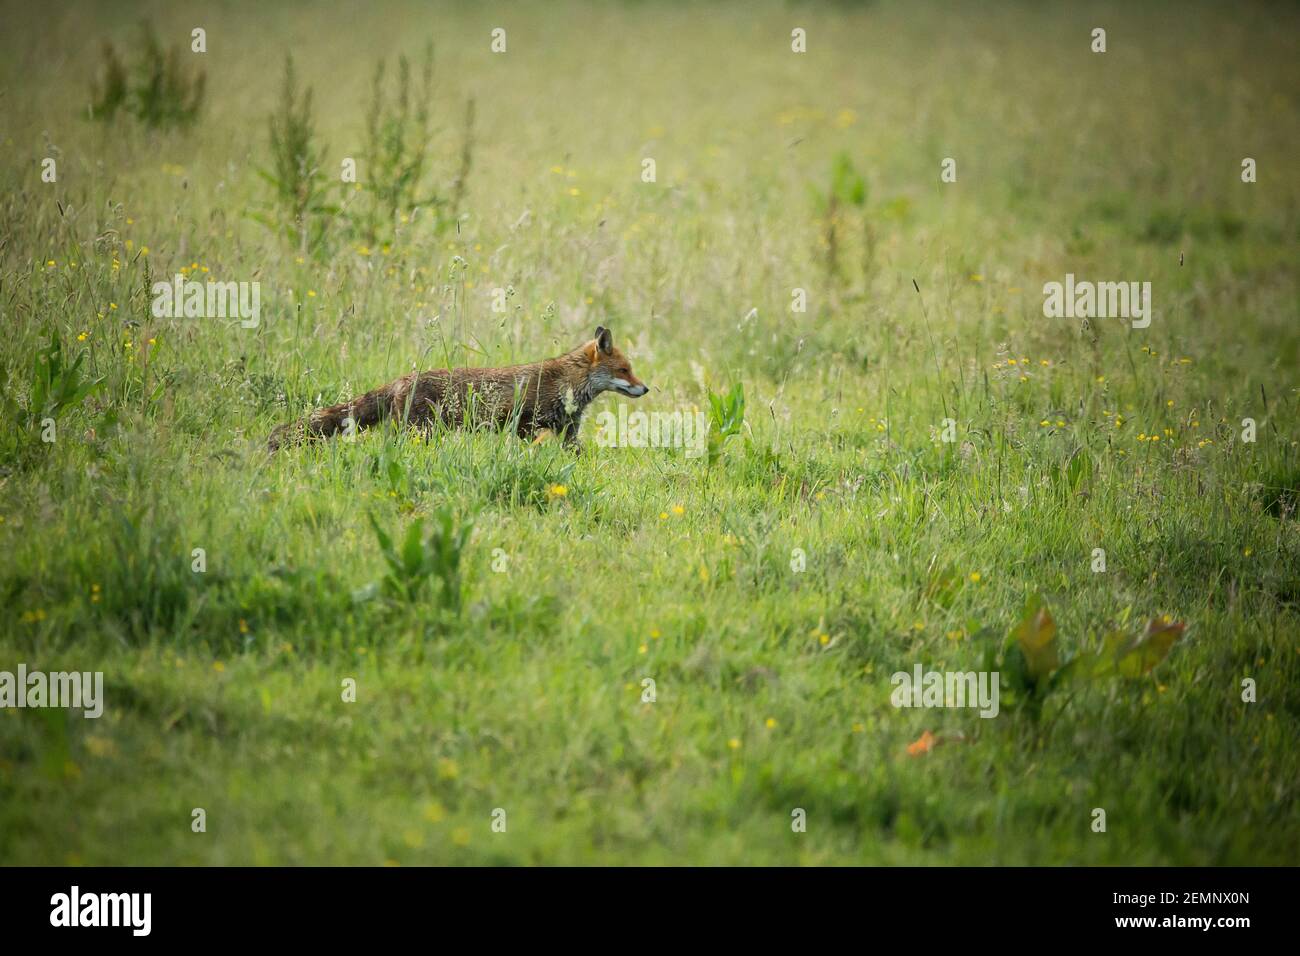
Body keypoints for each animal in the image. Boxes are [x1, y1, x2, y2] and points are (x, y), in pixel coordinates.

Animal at [267, 326, 648, 452]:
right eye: (624, 370)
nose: (645, 388)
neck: (567, 385)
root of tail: (401, 379)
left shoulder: (568, 431)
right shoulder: (525, 426)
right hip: (419, 432)